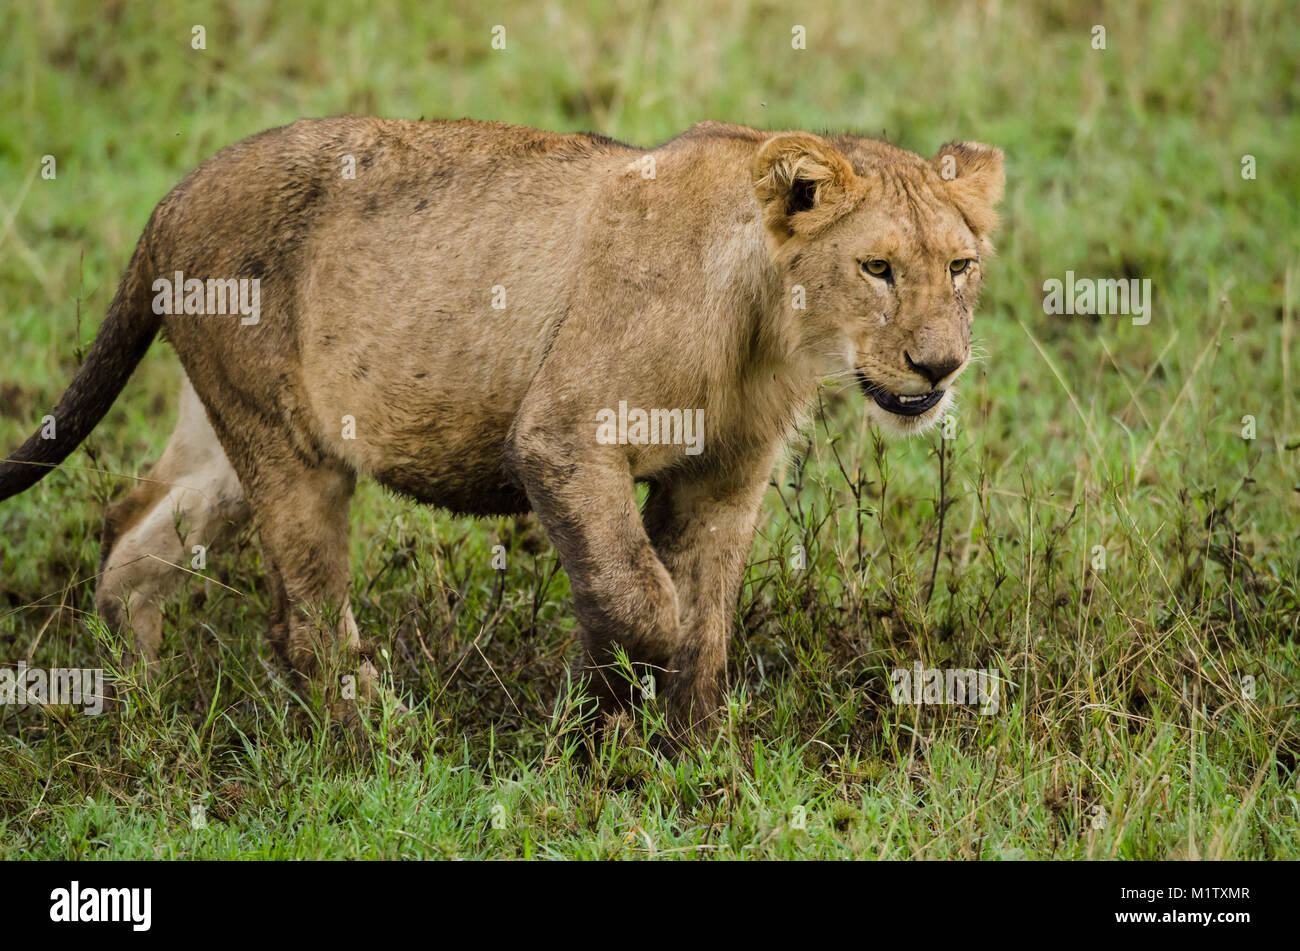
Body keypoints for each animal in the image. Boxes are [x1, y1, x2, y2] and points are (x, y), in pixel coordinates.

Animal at [0, 118, 1003, 732]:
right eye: (876, 267)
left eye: (959, 266)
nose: (940, 366)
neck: (766, 324)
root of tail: (168, 202)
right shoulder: (563, 434)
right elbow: (644, 599)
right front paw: (594, 712)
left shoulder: (723, 477)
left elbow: (703, 620)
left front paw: (692, 754)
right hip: (286, 450)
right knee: (304, 621)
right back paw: (379, 734)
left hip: (234, 435)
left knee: (131, 531)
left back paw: (137, 700)